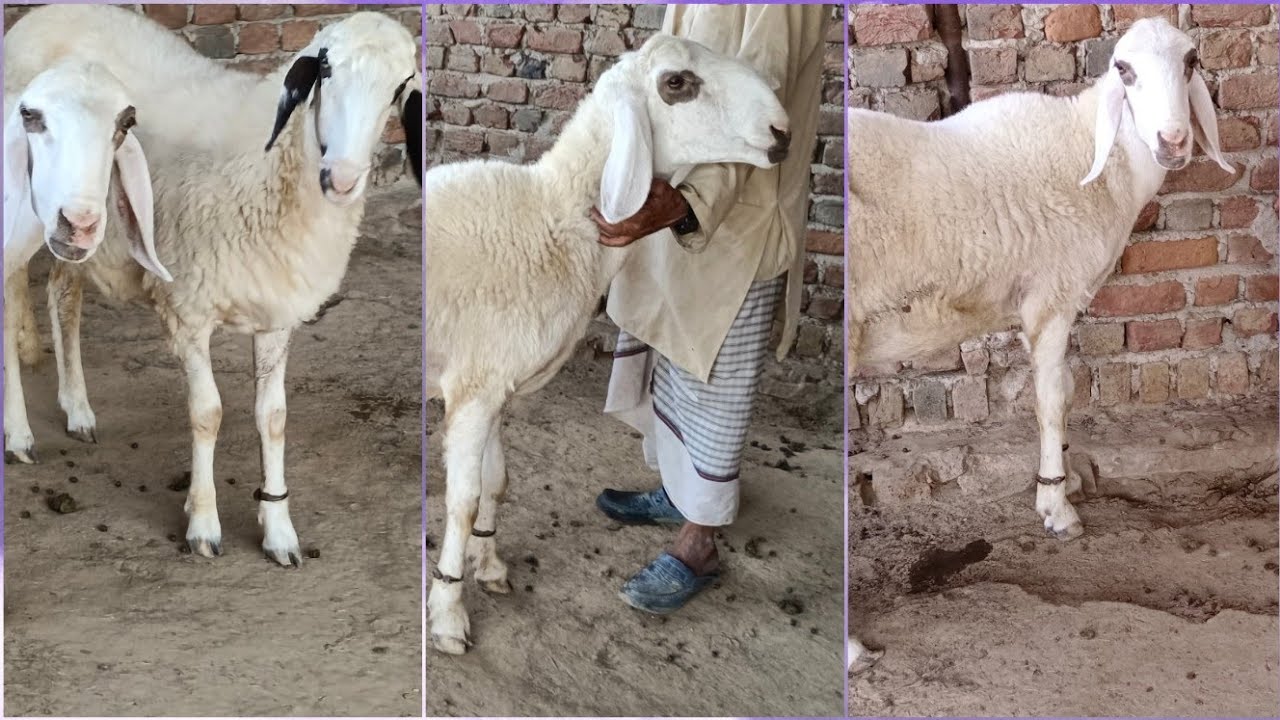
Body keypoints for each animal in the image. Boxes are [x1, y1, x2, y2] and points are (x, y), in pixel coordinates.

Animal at [3, 57, 171, 464]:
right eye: (29, 115)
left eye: (127, 122)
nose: (79, 225)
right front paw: (19, 435)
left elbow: (64, 302)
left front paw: (77, 411)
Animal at [424, 34, 792, 654]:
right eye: (676, 83)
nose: (782, 131)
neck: (550, 221)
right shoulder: (473, 387)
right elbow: (463, 500)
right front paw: (449, 613)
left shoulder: (497, 385)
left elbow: (498, 482)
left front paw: (490, 566)